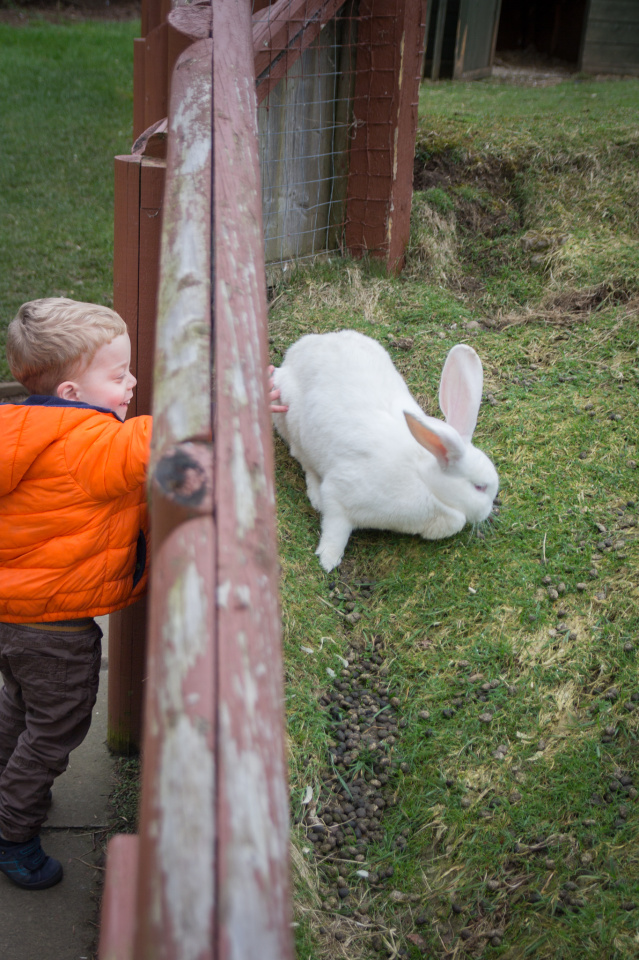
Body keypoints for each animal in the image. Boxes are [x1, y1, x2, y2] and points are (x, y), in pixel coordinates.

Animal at [272, 330, 499, 572]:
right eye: (479, 487)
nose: (486, 513)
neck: (424, 480)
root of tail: (297, 350)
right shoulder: (340, 495)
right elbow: (336, 528)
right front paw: (328, 559)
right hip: (292, 422)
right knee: (303, 460)